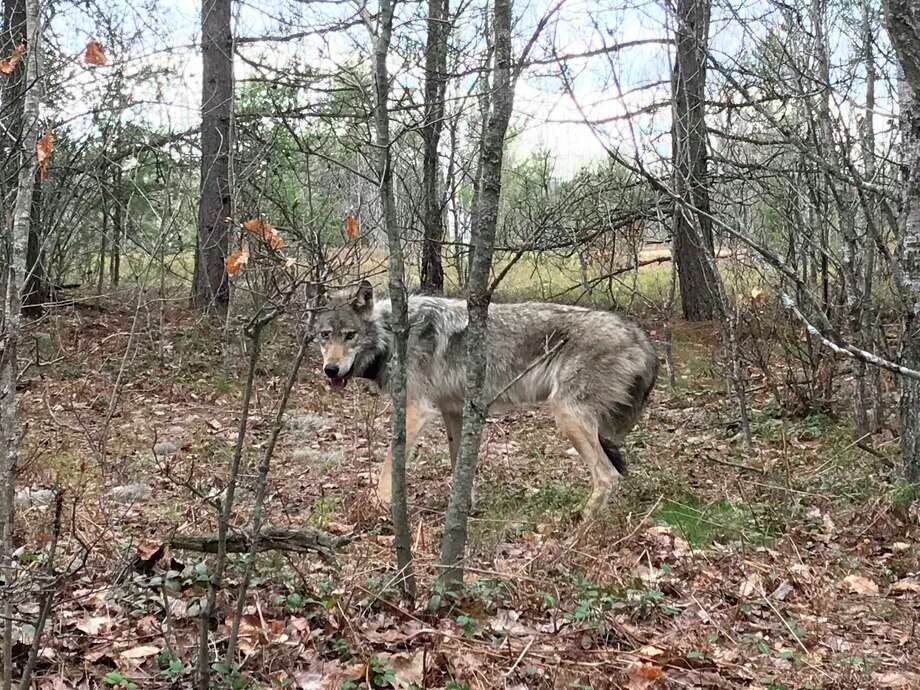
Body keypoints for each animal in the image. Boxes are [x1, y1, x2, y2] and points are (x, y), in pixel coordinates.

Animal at [313, 280, 657, 519]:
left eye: (350, 335)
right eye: (324, 335)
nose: (331, 370)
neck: (391, 337)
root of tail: (639, 336)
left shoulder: (416, 411)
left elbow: (389, 463)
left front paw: (378, 505)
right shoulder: (453, 411)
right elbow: (459, 465)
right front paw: (463, 507)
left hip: (567, 417)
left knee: (607, 476)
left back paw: (578, 526)